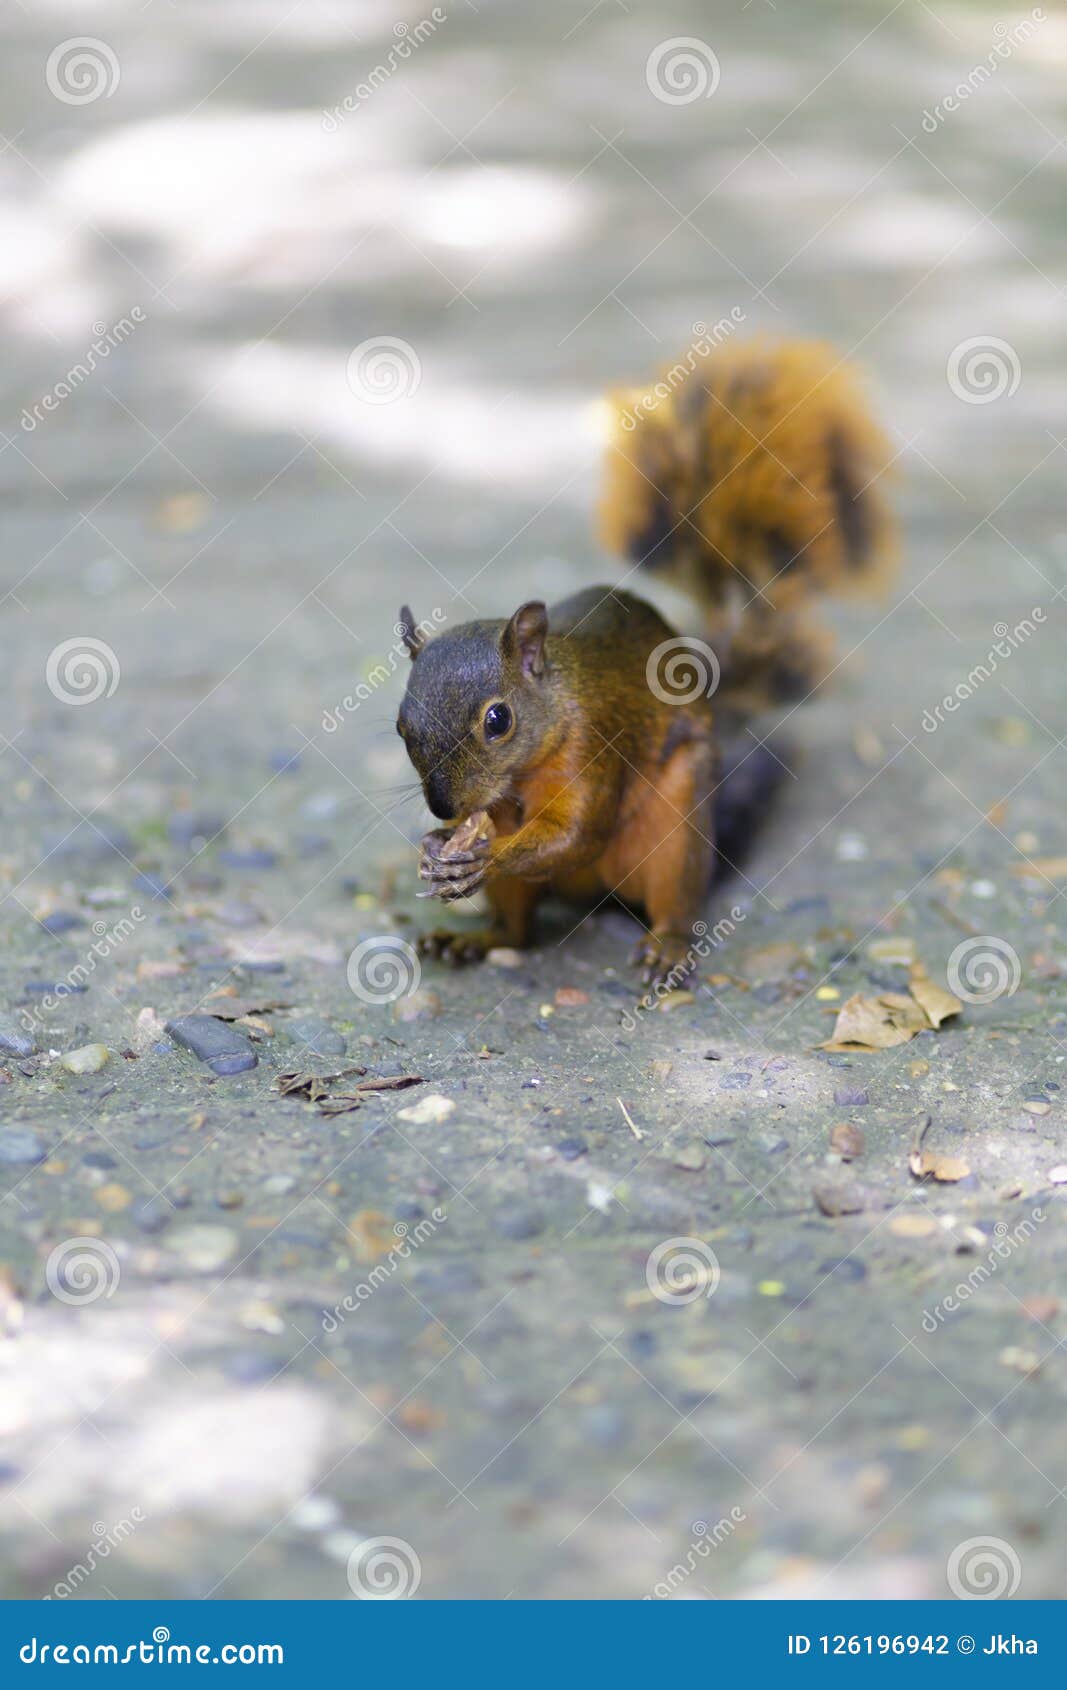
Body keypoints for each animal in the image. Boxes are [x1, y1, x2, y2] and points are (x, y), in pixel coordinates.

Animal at [396, 336, 897, 985]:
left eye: (498, 720)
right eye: (401, 727)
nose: (442, 805)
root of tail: (593, 895)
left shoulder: (596, 747)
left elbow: (576, 833)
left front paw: (485, 854)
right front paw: (440, 843)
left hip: (677, 826)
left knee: (672, 896)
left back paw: (670, 947)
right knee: (516, 930)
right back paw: (474, 940)